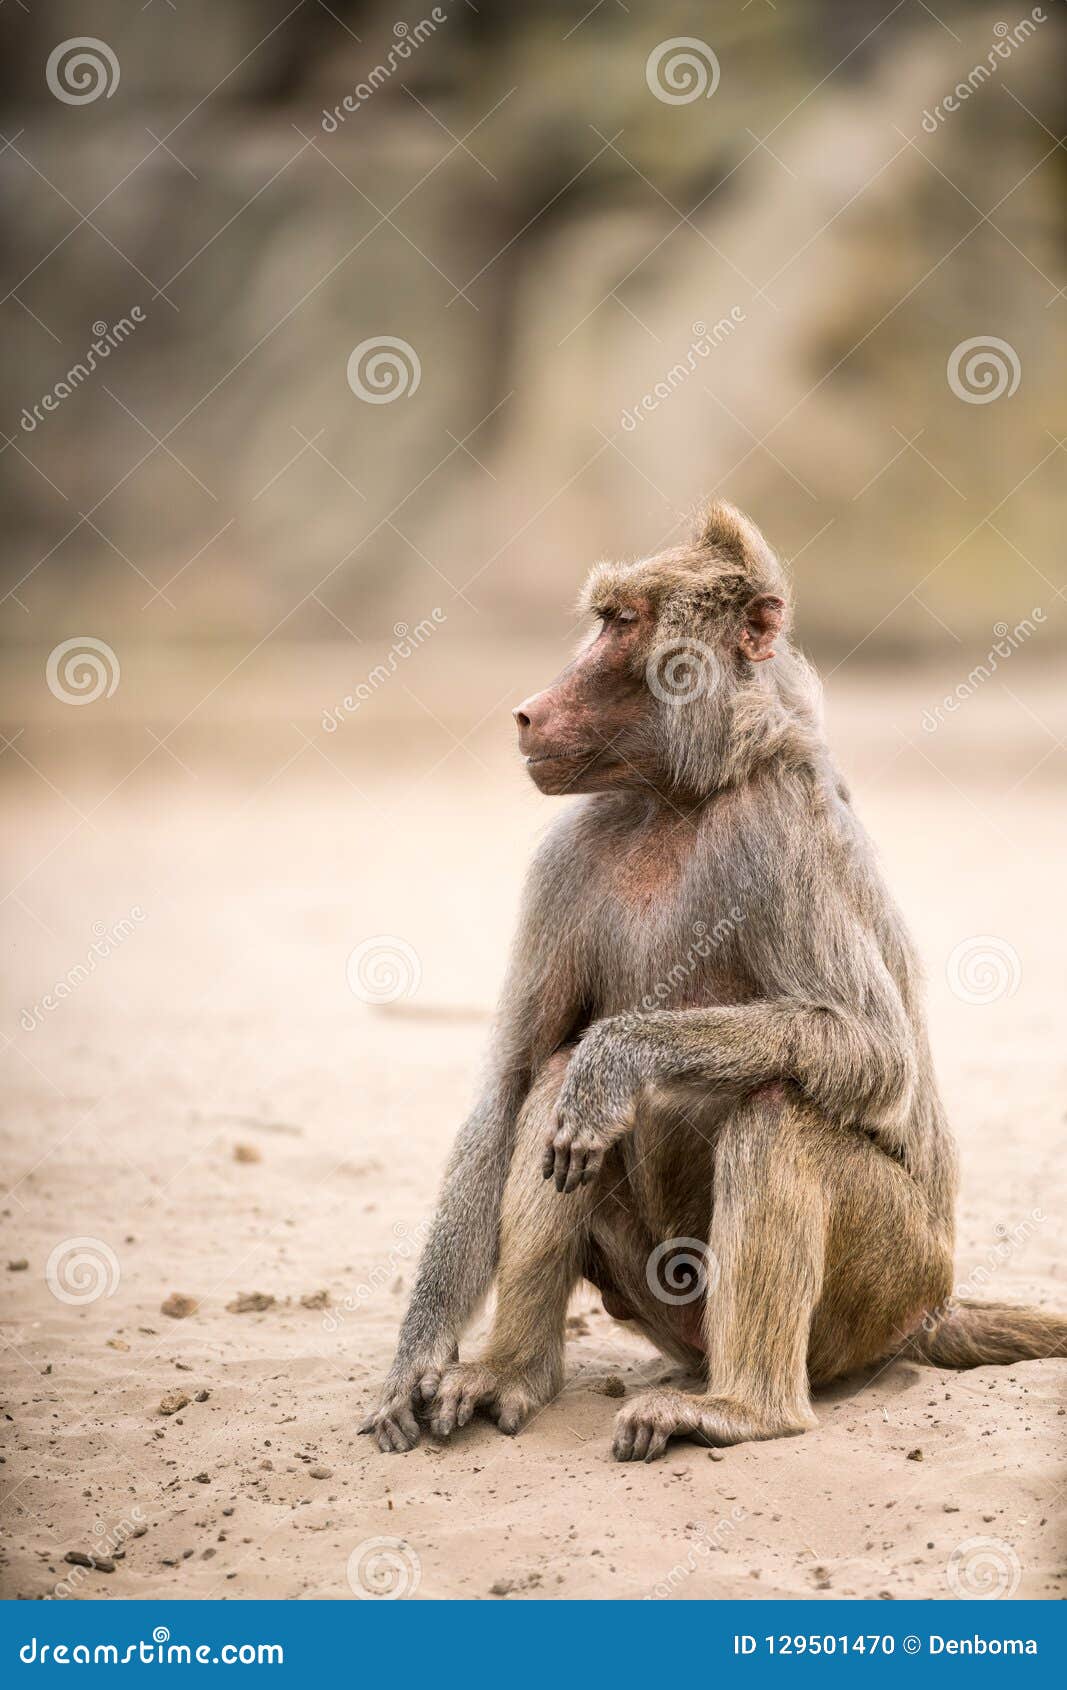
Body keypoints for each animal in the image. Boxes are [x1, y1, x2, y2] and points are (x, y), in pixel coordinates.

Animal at [361, 500, 1067, 1461]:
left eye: (621, 623)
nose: (528, 714)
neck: (680, 798)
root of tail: (931, 1307)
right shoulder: (564, 854)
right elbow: (510, 1085)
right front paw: (415, 1363)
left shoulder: (776, 831)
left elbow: (874, 1052)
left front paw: (618, 1057)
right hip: (661, 1302)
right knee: (551, 1084)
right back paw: (512, 1375)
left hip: (884, 1284)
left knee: (776, 1108)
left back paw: (745, 1409)